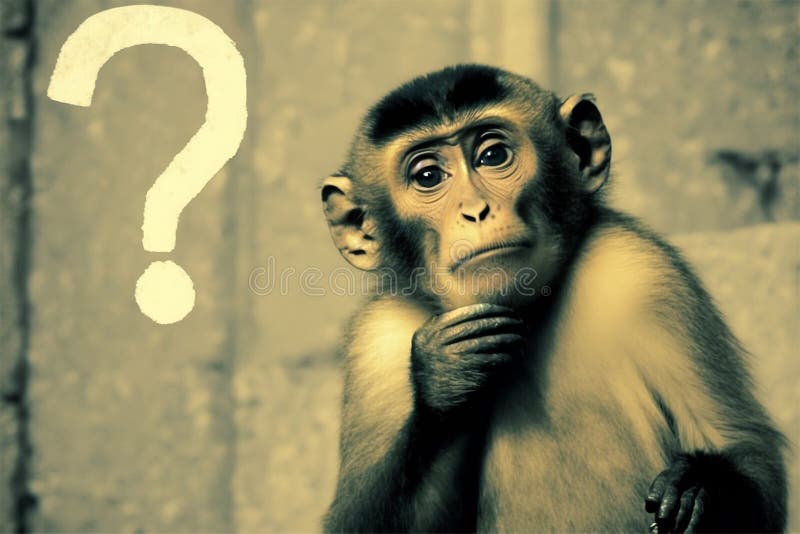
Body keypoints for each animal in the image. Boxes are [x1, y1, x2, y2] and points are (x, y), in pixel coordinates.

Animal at [319, 64, 787, 532]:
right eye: (428, 177)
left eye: (493, 156)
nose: (475, 210)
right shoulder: (378, 340)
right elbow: (356, 523)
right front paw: (446, 377)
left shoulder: (643, 273)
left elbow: (745, 448)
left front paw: (702, 487)